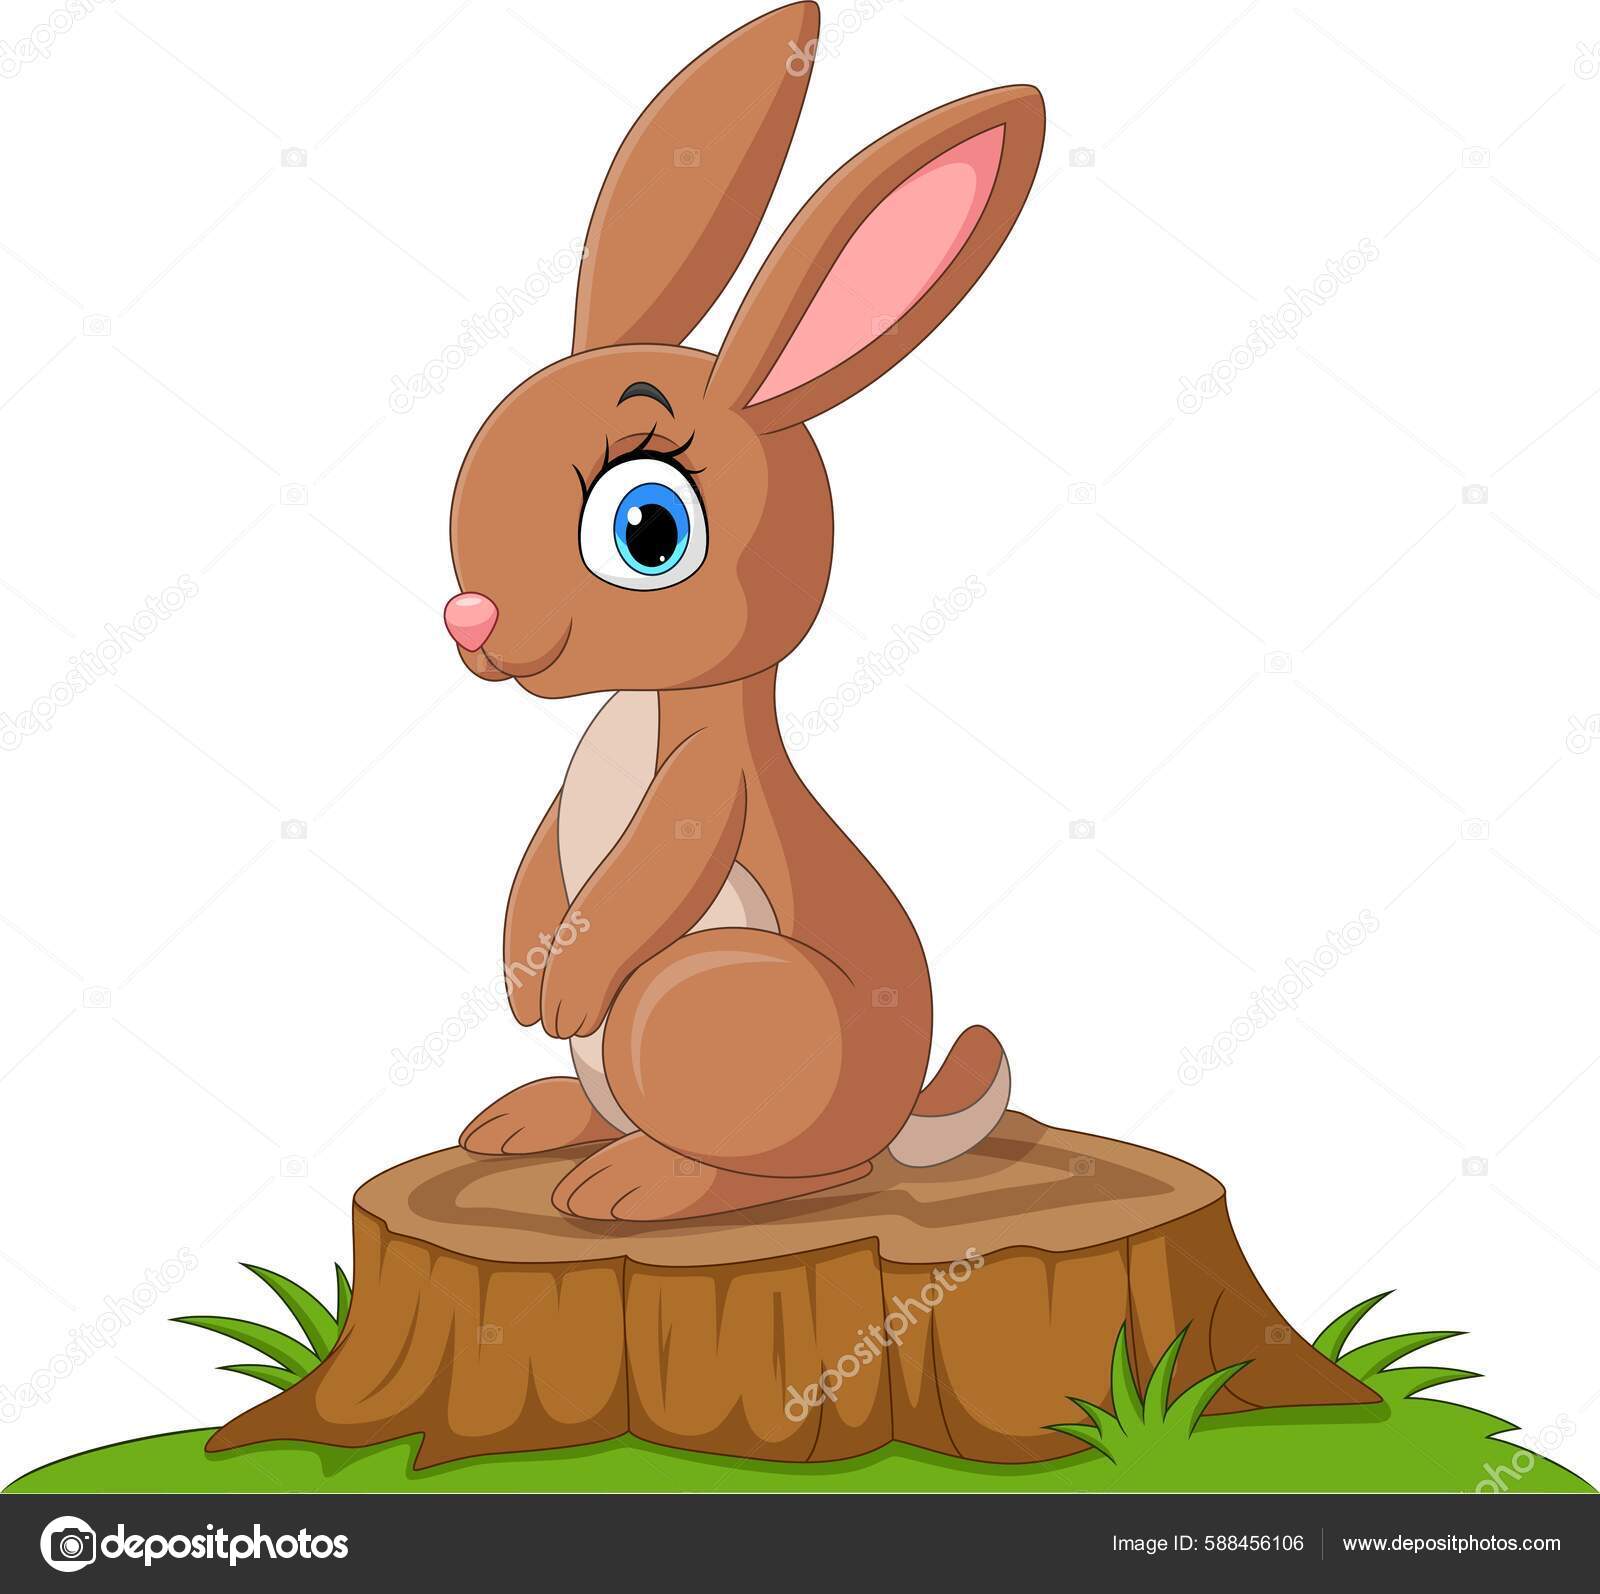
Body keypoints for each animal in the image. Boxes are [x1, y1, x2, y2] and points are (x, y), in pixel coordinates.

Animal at [445, 2, 1045, 1220]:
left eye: (649, 531)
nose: (470, 621)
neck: (641, 703)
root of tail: (898, 1123)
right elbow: (534, 867)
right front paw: (526, 980)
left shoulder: (701, 786)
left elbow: (646, 877)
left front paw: (564, 983)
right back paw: (531, 1120)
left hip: (695, 997)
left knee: (794, 1164)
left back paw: (640, 1184)